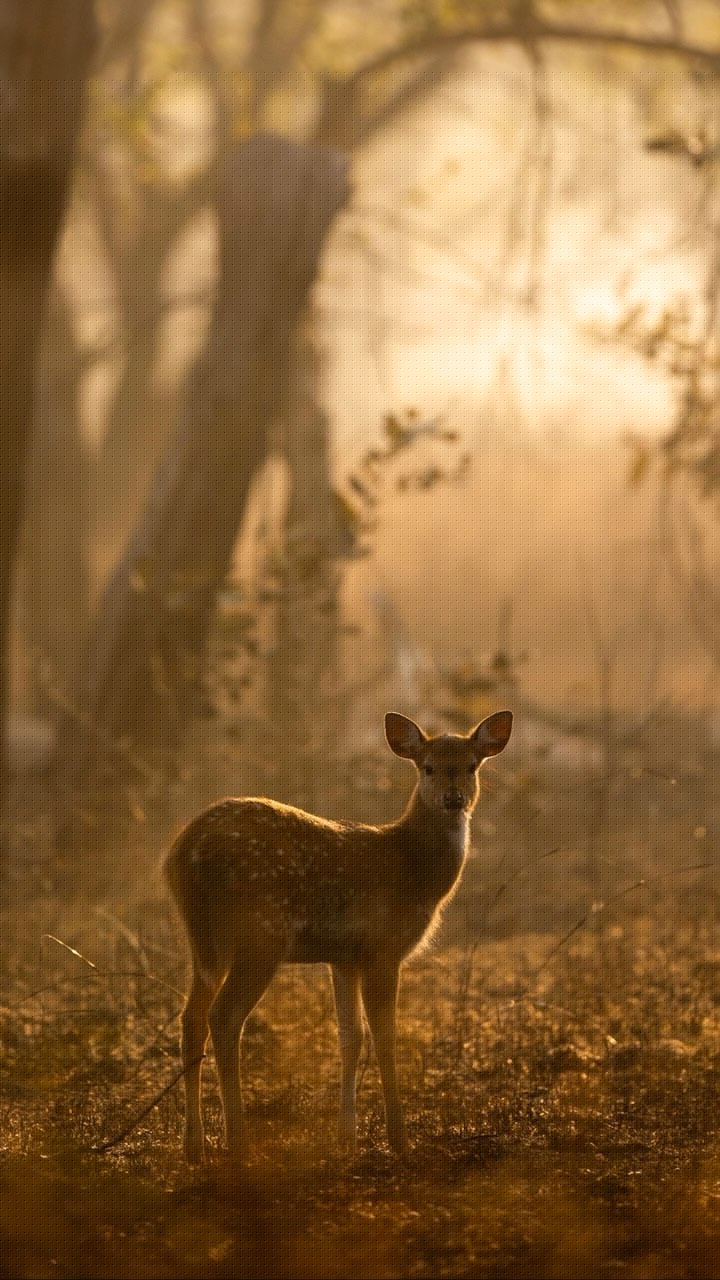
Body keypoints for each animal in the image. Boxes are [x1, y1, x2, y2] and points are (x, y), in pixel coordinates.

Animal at [165, 709, 513, 1163]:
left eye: (472, 765)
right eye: (428, 767)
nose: (453, 798)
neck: (414, 869)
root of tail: (182, 854)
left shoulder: (344, 956)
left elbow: (351, 1036)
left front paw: (346, 1136)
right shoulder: (383, 947)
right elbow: (385, 1037)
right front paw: (399, 1139)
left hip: (203, 941)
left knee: (191, 1019)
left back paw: (194, 1146)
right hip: (261, 932)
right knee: (223, 1017)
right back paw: (239, 1143)